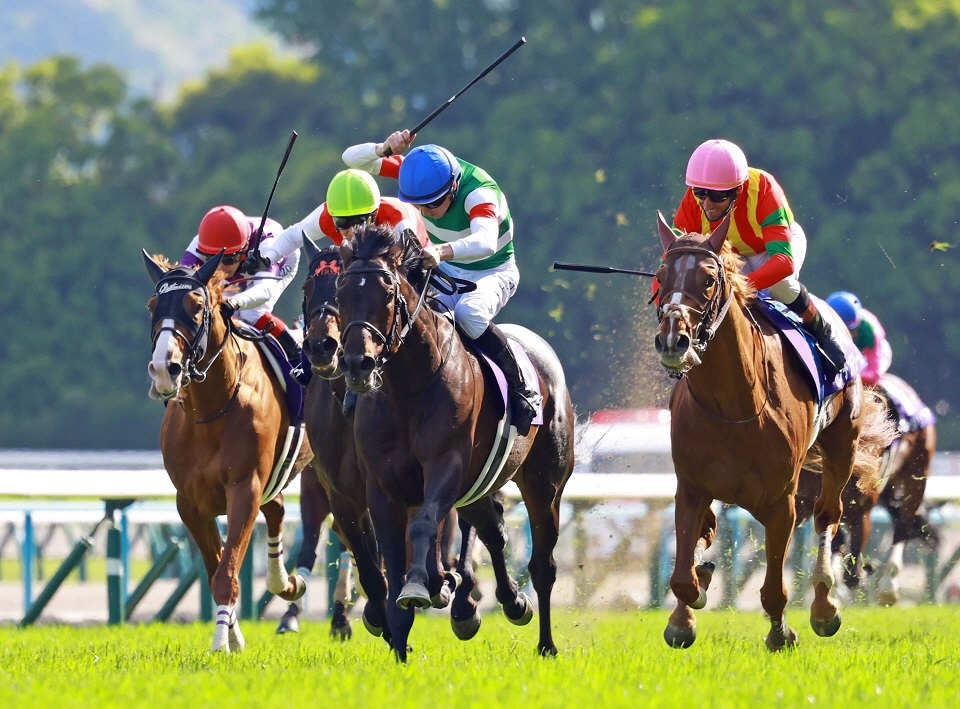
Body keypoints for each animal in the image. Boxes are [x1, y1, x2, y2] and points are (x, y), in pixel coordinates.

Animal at [143, 250, 312, 652]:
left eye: (196, 306)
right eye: (153, 305)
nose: (163, 370)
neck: (212, 409)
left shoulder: (244, 488)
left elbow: (227, 571)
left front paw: (221, 642)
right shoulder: (190, 502)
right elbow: (216, 567)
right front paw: (232, 634)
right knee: (278, 510)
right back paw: (285, 582)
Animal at [336, 222, 575, 662]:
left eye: (388, 294)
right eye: (342, 295)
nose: (357, 364)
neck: (408, 387)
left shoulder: (445, 466)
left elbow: (424, 525)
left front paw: (419, 587)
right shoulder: (381, 486)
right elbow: (391, 558)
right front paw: (400, 644)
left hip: (544, 484)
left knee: (543, 565)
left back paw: (545, 642)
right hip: (476, 488)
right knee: (494, 531)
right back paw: (510, 602)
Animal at [651, 213, 895, 651]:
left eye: (709, 279)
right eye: (661, 276)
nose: (672, 340)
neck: (732, 406)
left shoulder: (783, 501)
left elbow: (773, 590)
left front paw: (781, 633)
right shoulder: (692, 488)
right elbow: (683, 576)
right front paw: (685, 614)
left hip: (841, 448)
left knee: (827, 516)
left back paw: (824, 605)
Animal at [795, 373, 938, 604]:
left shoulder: (860, 512)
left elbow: (852, 572)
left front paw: (863, 571)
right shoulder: (804, 505)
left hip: (916, 475)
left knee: (903, 526)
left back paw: (888, 586)